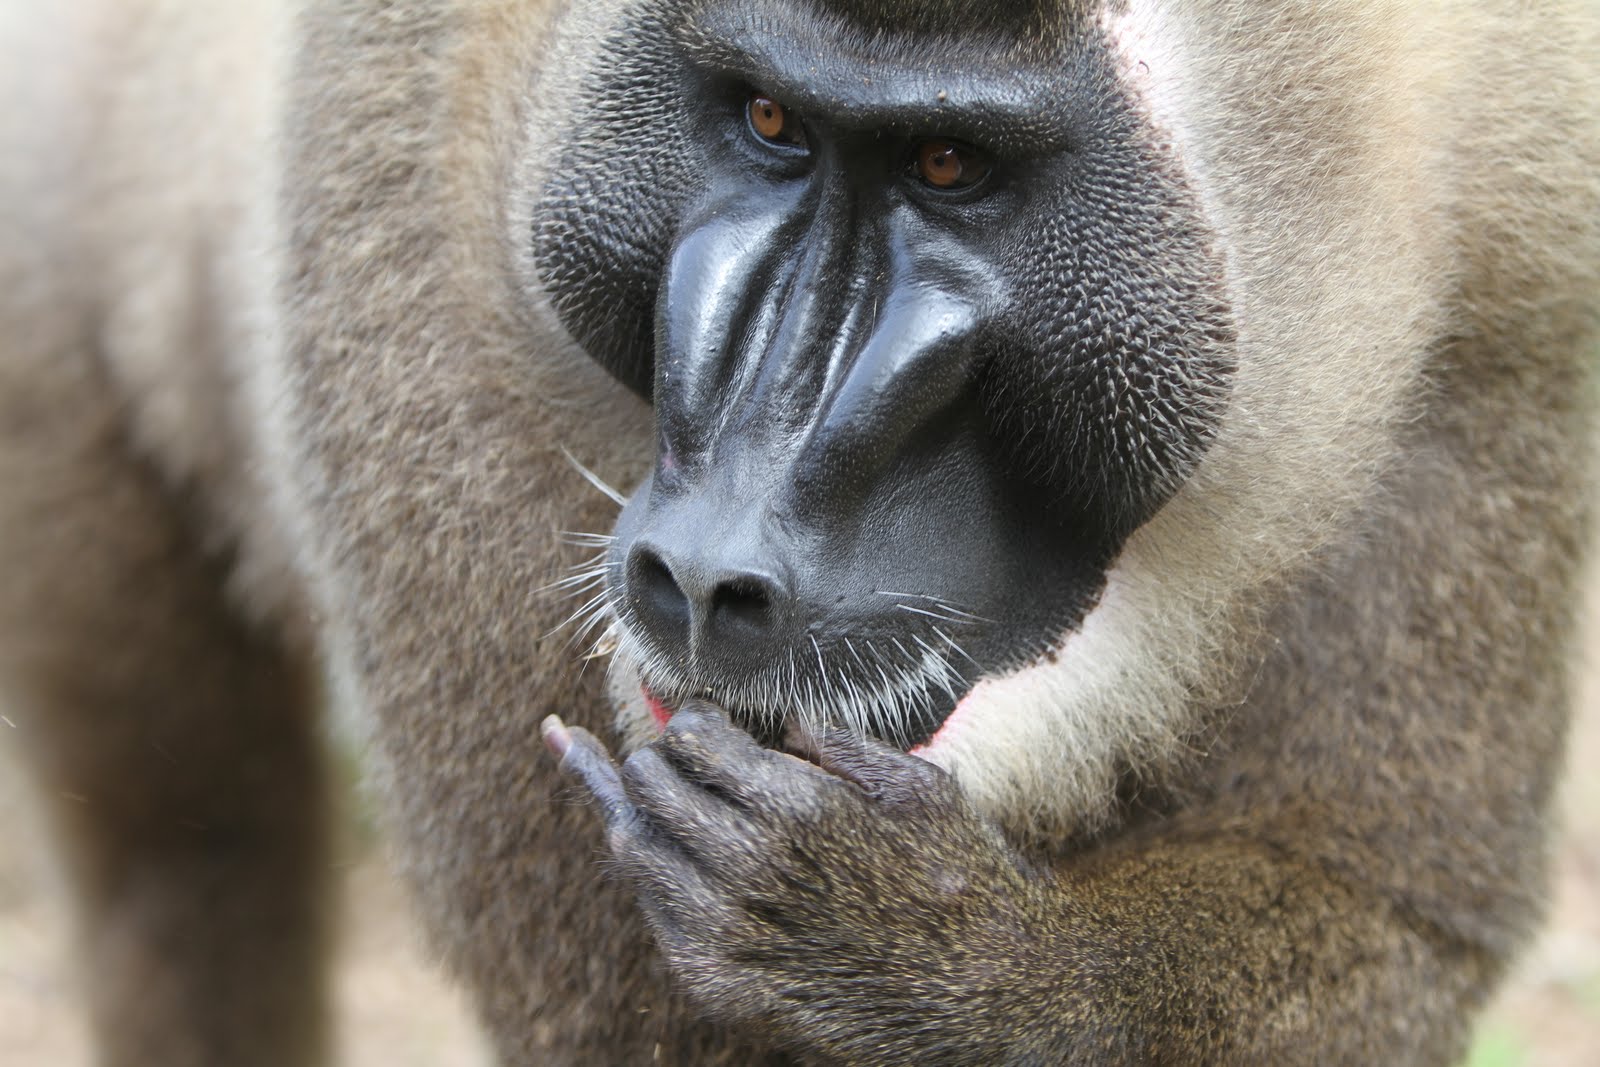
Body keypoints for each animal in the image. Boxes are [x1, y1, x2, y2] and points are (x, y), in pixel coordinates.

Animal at [1, 0, 1597, 1064]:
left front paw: (946, 958)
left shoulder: (1511, 256)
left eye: (950, 164)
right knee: (184, 852)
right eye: (771, 124)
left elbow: (1389, 907)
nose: (708, 574)